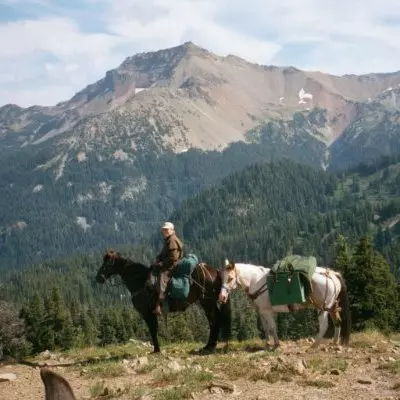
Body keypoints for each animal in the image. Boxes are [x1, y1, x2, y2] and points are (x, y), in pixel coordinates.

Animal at [95, 250, 231, 354]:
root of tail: (216, 271)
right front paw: (157, 349)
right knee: (214, 321)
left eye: (107, 263)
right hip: (206, 303)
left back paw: (210, 346)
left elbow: (152, 330)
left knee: (215, 320)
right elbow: (154, 329)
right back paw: (209, 346)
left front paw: (156, 349)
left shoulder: (147, 312)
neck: (140, 281)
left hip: (208, 302)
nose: (98, 278)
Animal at [219, 260, 350, 348]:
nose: (222, 297)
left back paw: (314, 345)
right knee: (337, 321)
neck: (256, 281)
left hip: (322, 308)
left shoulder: (267, 311)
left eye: (230, 278)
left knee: (324, 325)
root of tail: (331, 274)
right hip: (332, 307)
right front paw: (267, 344)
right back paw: (334, 342)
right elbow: (266, 328)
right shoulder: (262, 312)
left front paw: (276, 344)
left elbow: (272, 327)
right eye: (221, 278)